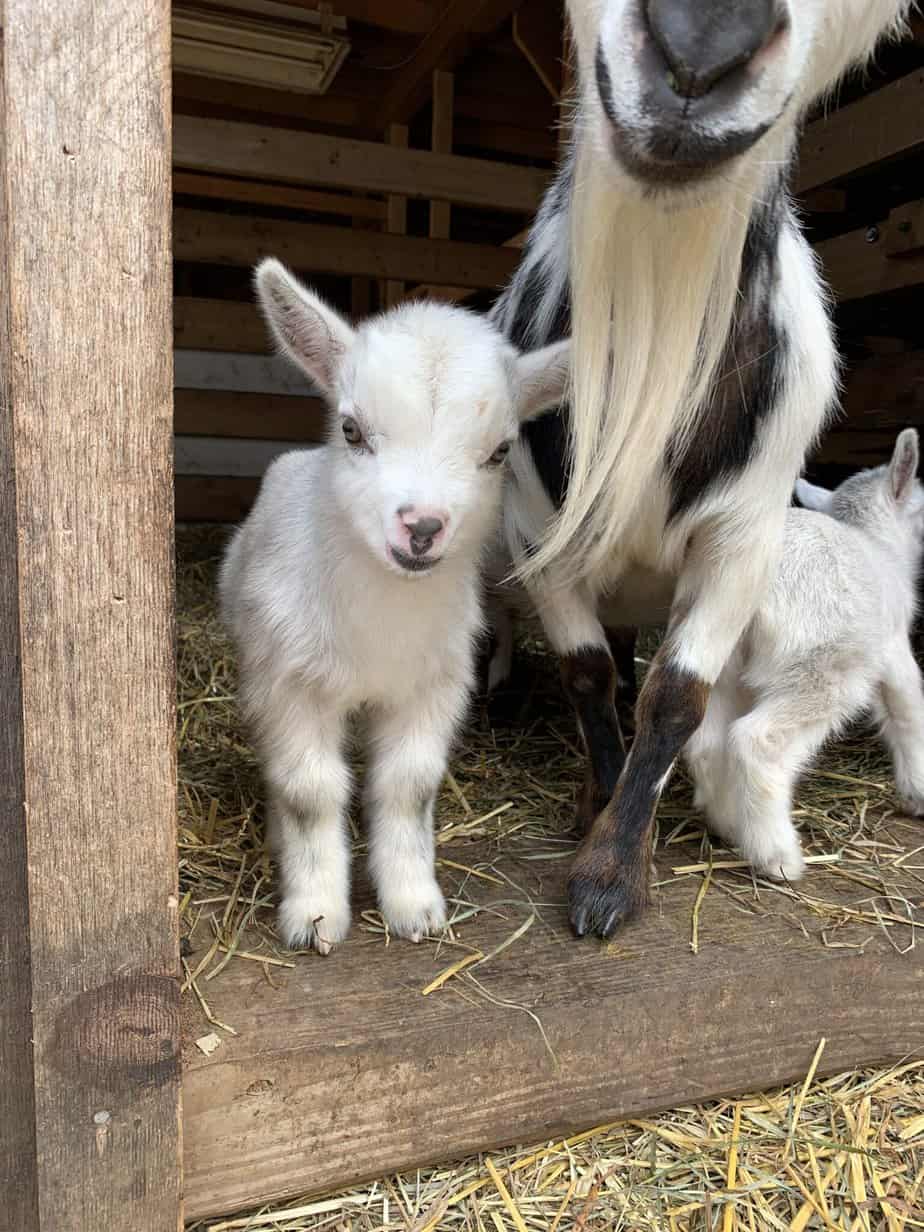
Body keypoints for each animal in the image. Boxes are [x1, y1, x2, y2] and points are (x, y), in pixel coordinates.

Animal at [219, 259, 569, 953]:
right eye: (351, 430)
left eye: (499, 451)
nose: (423, 528)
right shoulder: (290, 685)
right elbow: (308, 791)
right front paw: (316, 913)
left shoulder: (434, 686)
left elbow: (408, 787)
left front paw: (413, 904)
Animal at [489, 0, 913, 937]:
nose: (699, 47)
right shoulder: (542, 533)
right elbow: (585, 674)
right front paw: (600, 823)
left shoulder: (741, 540)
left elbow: (677, 695)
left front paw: (612, 871)